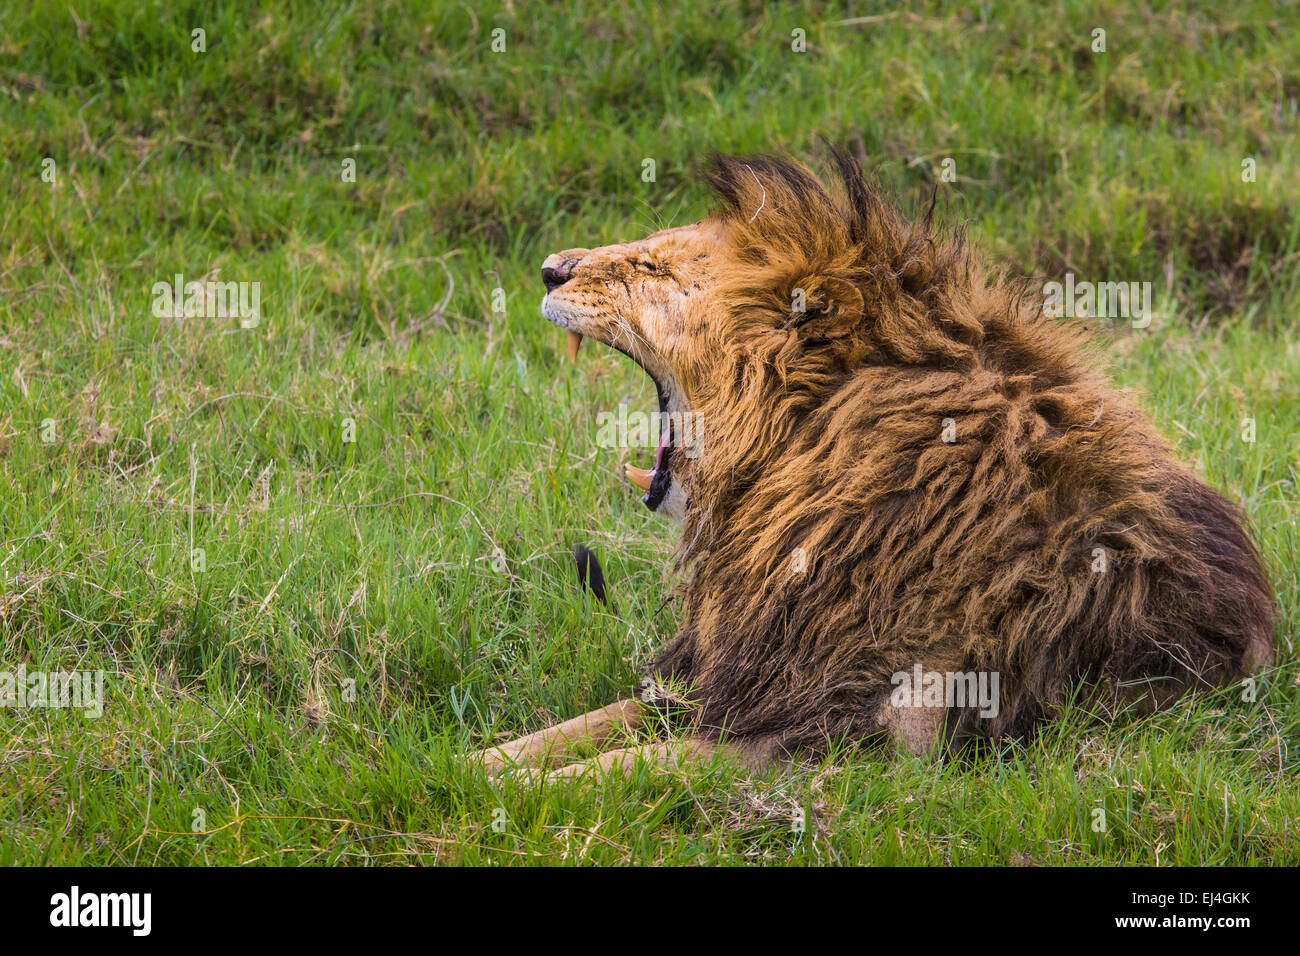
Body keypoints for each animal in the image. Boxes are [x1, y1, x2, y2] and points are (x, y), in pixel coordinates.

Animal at [478, 150, 1276, 780]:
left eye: (652, 267)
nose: (547, 270)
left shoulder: (835, 733)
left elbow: (624, 766)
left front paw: (496, 796)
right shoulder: (731, 679)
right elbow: (578, 730)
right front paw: (464, 763)